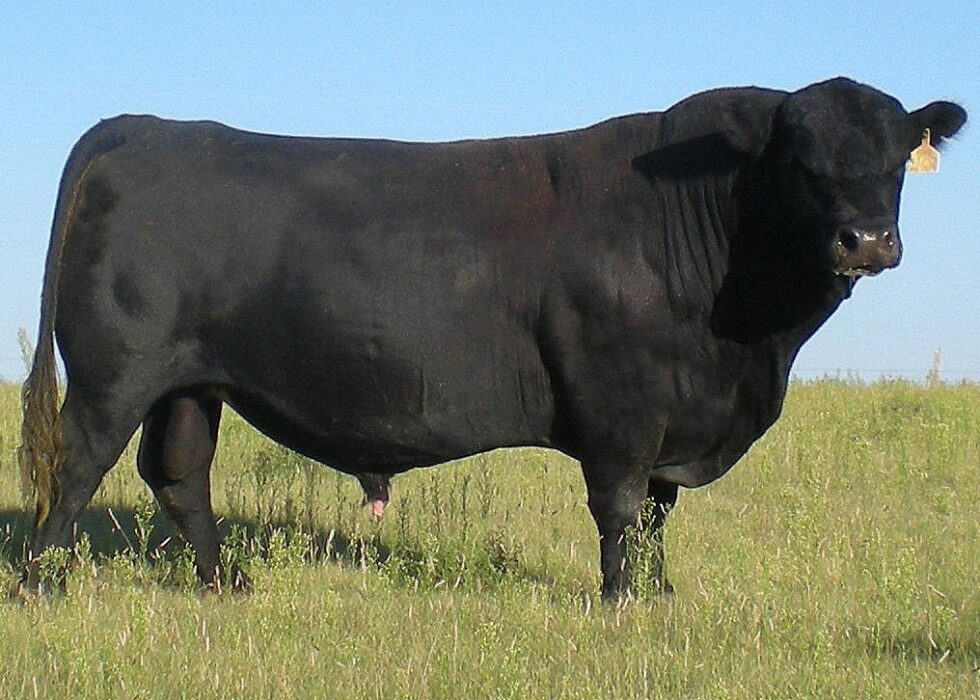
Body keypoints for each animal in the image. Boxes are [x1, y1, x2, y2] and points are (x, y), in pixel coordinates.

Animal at [19, 78, 965, 601]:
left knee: (179, 474)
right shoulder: (622, 407)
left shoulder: (679, 415)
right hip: (113, 371)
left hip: (190, 379)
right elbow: (622, 510)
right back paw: (41, 586)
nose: (867, 241)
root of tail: (150, 126)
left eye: (895, 160)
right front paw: (620, 605)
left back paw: (229, 587)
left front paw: (662, 597)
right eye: (799, 157)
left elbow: (661, 515)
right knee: (76, 467)